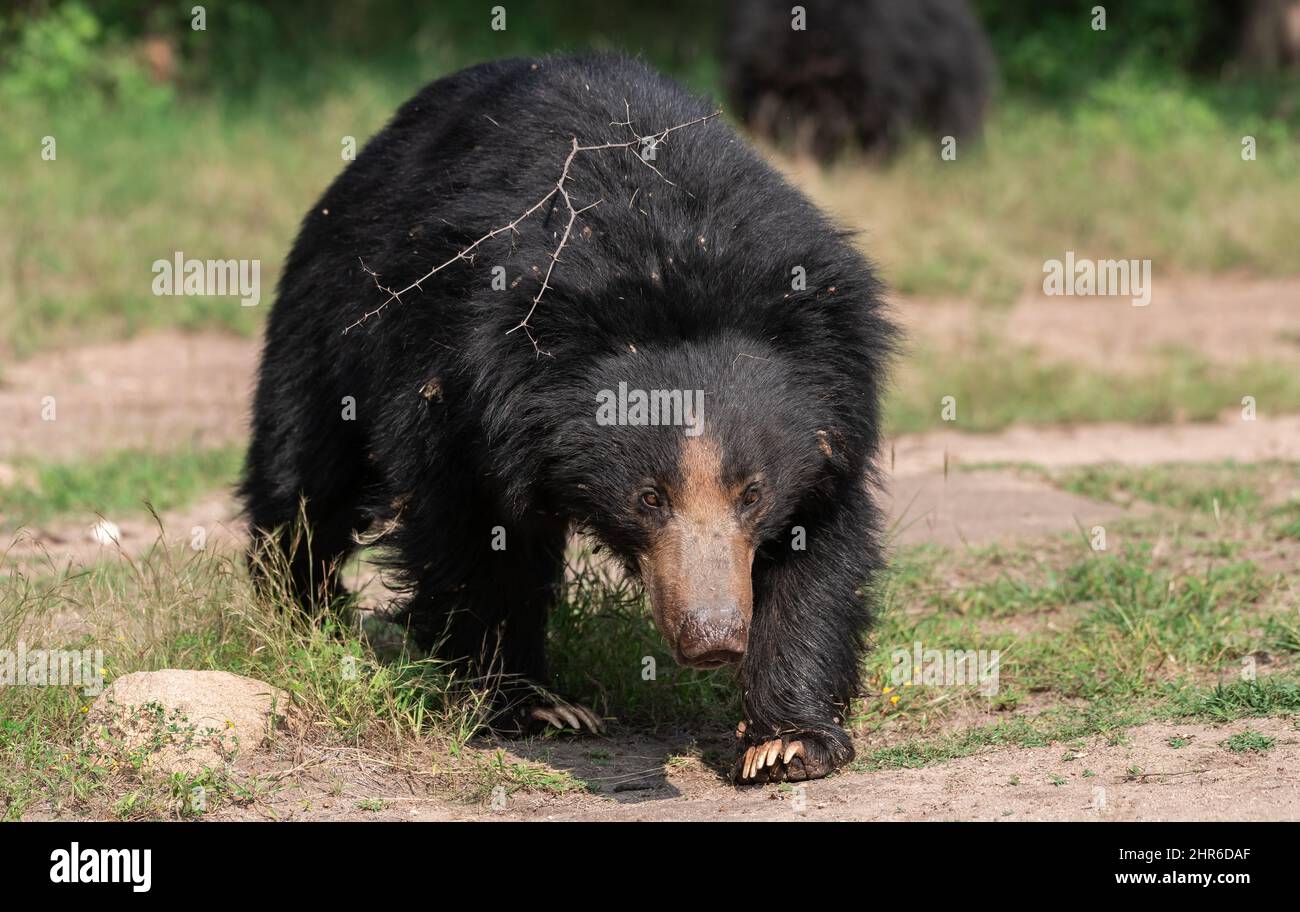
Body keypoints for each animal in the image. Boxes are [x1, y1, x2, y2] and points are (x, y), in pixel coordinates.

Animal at [240, 54, 895, 784]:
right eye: (649, 497)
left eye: (751, 494)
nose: (713, 639)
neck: (668, 264)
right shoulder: (457, 382)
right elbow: (470, 530)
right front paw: (535, 708)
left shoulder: (833, 401)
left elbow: (820, 547)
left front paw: (785, 743)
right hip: (330, 313)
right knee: (305, 475)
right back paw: (300, 613)